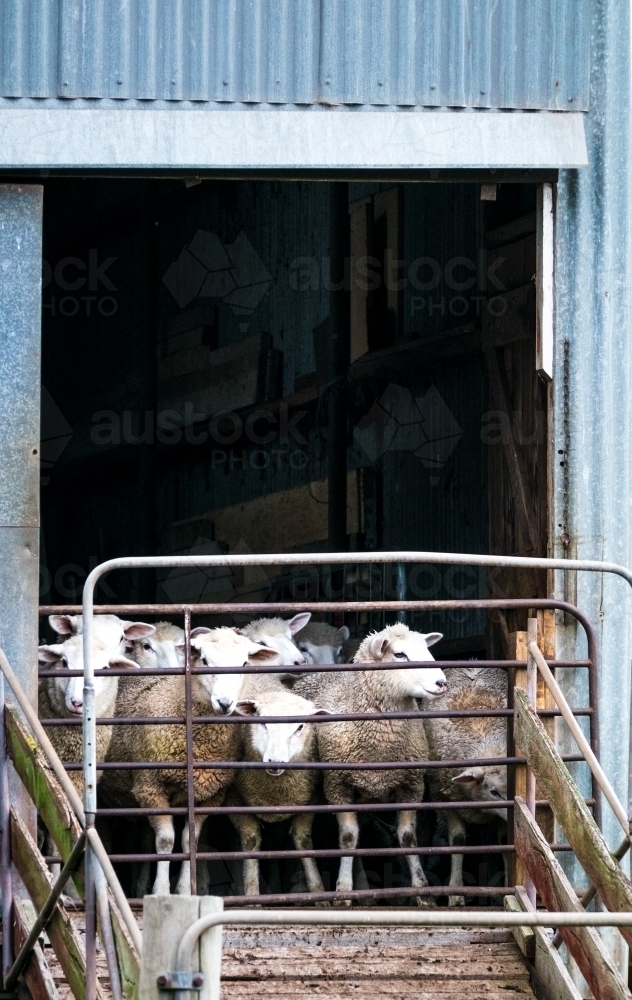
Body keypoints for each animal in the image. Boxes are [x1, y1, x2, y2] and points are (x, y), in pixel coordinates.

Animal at [104, 627, 278, 895]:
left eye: (244, 663)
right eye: (204, 661)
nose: (225, 703)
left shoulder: (208, 795)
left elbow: (190, 841)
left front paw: (186, 890)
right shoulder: (149, 787)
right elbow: (166, 841)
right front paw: (161, 891)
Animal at [227, 689, 329, 899]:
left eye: (300, 727)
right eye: (262, 722)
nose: (275, 761)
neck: (274, 795)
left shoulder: (311, 799)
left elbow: (302, 839)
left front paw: (318, 892)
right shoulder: (234, 799)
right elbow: (251, 841)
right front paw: (252, 896)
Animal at [294, 623, 447, 905]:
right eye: (399, 655)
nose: (442, 683)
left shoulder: (412, 785)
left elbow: (408, 838)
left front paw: (422, 892)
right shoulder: (338, 787)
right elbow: (347, 838)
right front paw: (343, 892)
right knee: (303, 837)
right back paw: (320, 893)